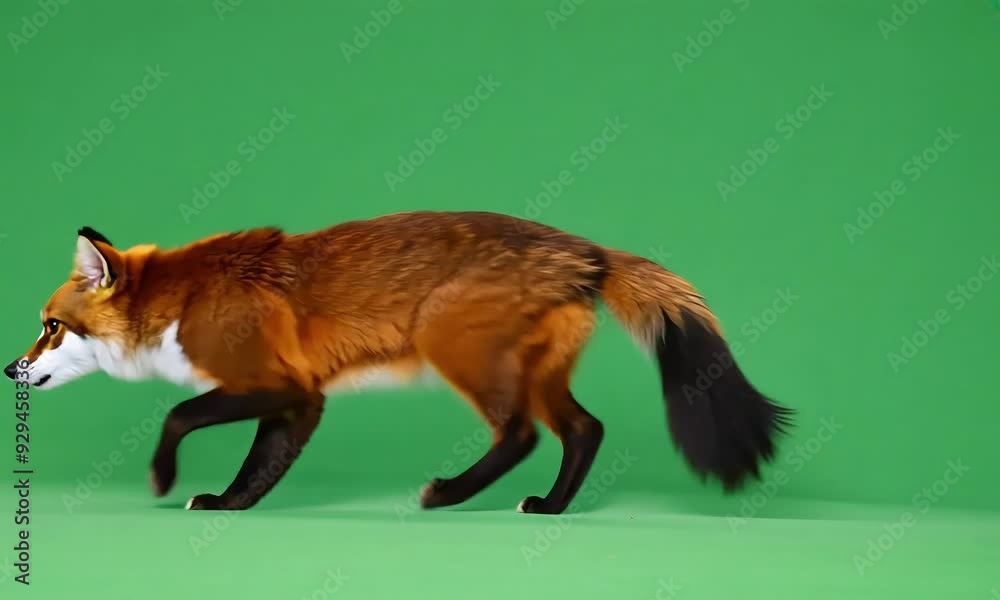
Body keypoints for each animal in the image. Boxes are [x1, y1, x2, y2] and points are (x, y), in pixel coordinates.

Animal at [4, 211, 792, 513]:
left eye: (50, 327)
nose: (11, 370)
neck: (183, 300)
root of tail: (584, 248)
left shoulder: (276, 382)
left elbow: (179, 413)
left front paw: (165, 480)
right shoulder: (301, 398)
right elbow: (261, 467)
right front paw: (231, 506)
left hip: (456, 349)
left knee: (522, 435)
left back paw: (449, 495)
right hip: (535, 373)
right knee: (583, 430)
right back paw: (551, 506)